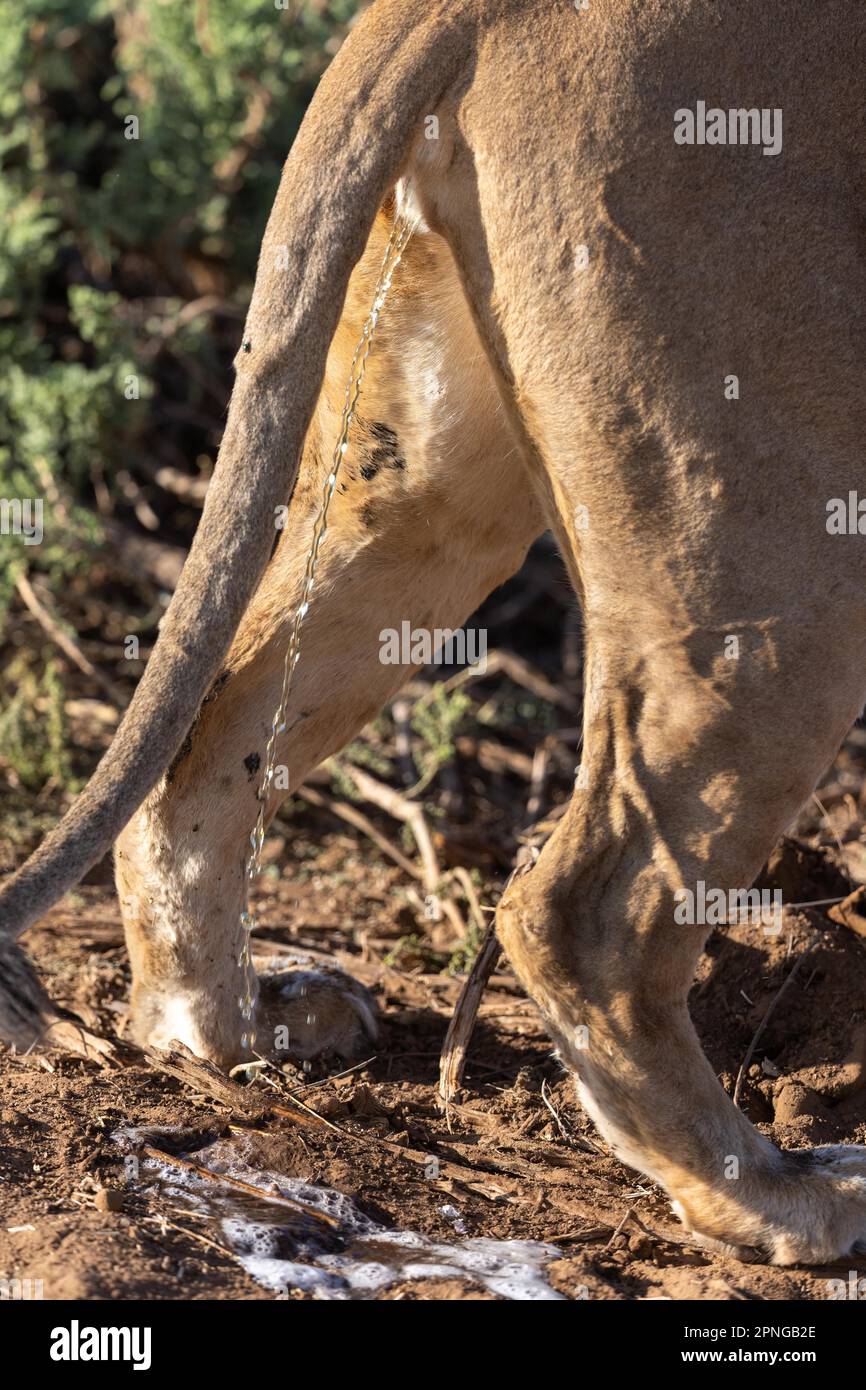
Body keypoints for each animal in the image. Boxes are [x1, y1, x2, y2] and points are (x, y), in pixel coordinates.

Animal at [3, 0, 866, 1266]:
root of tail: (473, 7)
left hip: (426, 481)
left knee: (205, 747)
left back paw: (238, 1030)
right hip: (774, 527)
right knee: (582, 910)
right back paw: (777, 1197)